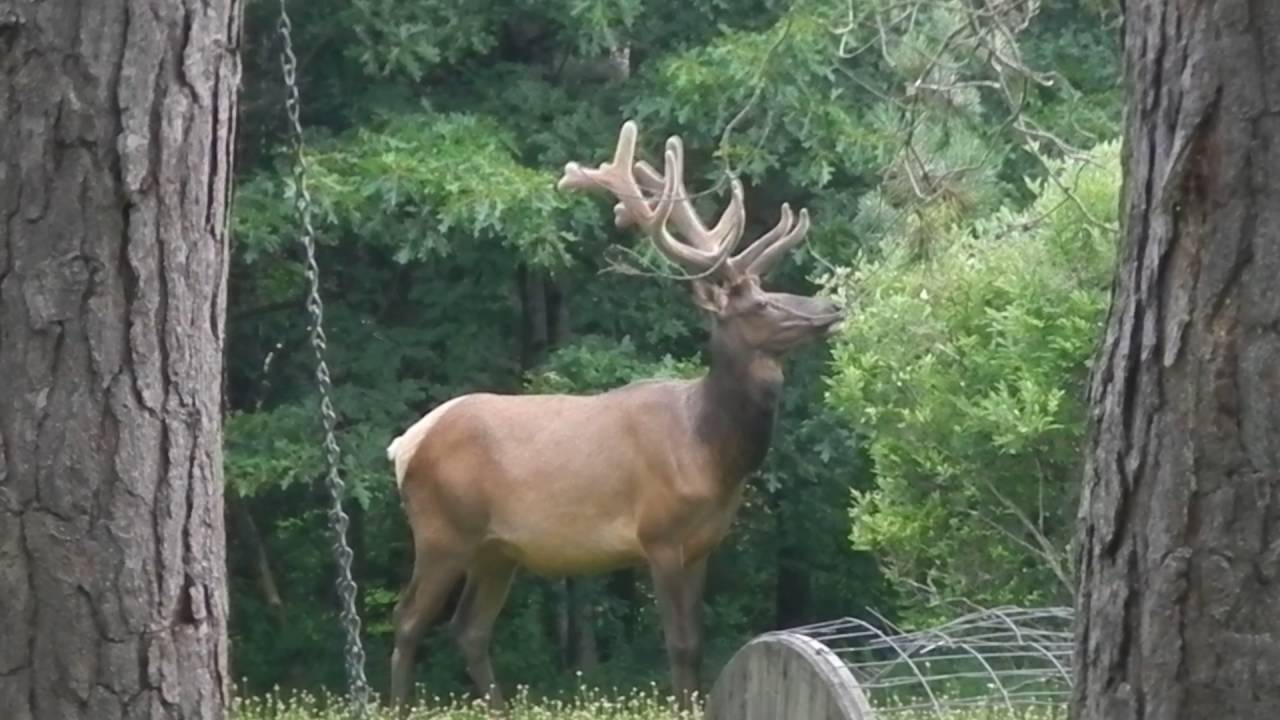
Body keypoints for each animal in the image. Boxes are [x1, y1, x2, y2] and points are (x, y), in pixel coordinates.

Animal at [386, 120, 844, 713]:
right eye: (760, 303)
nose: (831, 308)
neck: (709, 453)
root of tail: (405, 445)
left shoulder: (704, 543)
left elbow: (697, 641)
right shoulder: (658, 533)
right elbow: (679, 643)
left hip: (497, 547)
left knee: (469, 629)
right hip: (441, 529)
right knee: (409, 620)